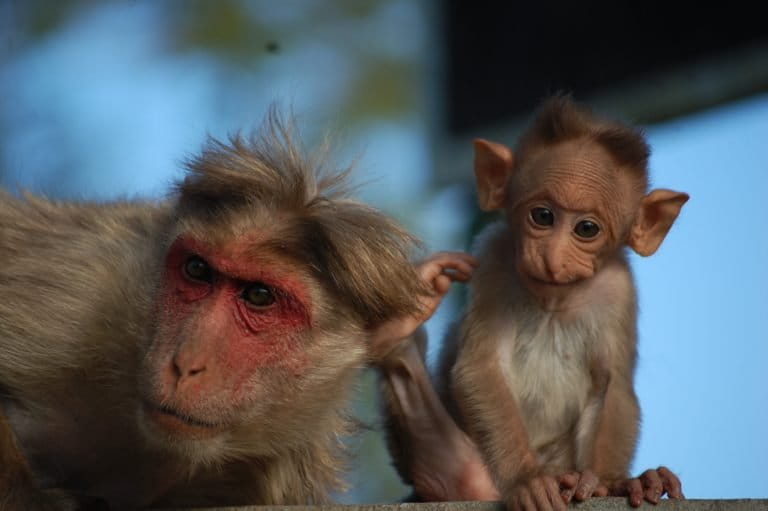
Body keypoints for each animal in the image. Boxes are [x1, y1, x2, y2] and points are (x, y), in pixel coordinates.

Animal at [375, 95, 688, 511]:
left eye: (586, 228)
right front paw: (527, 481)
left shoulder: (618, 290)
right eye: (543, 216)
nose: (551, 258)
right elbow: (480, 367)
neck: (553, 300)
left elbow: (615, 385)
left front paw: (616, 484)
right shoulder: (494, 260)